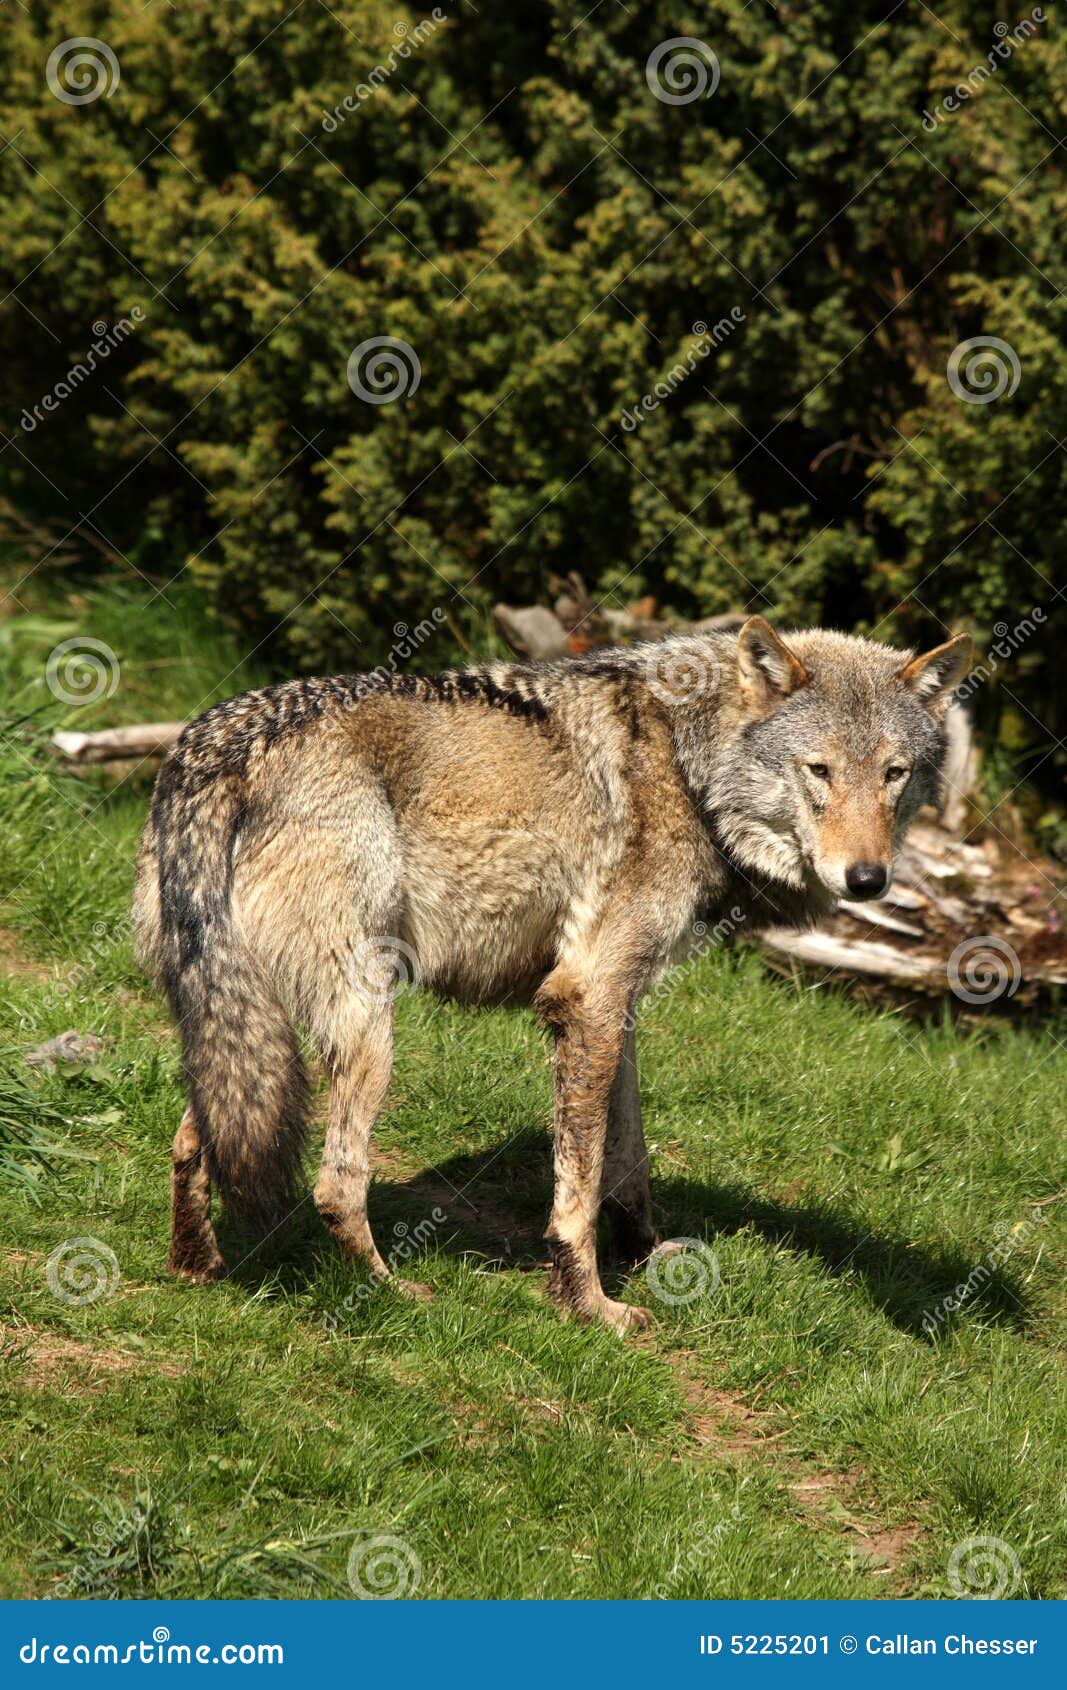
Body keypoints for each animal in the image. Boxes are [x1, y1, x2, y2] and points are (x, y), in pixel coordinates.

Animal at [133, 616, 971, 1331]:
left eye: (894, 774)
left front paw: (644, 1252)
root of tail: (210, 751)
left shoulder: (616, 1000)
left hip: (246, 1030)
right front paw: (588, 1304)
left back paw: (196, 1267)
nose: (866, 879)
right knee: (335, 1185)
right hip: (367, 1027)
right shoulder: (586, 994)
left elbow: (628, 1157)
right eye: (817, 770)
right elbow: (582, 1180)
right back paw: (385, 1292)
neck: (688, 766)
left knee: (196, 1140)